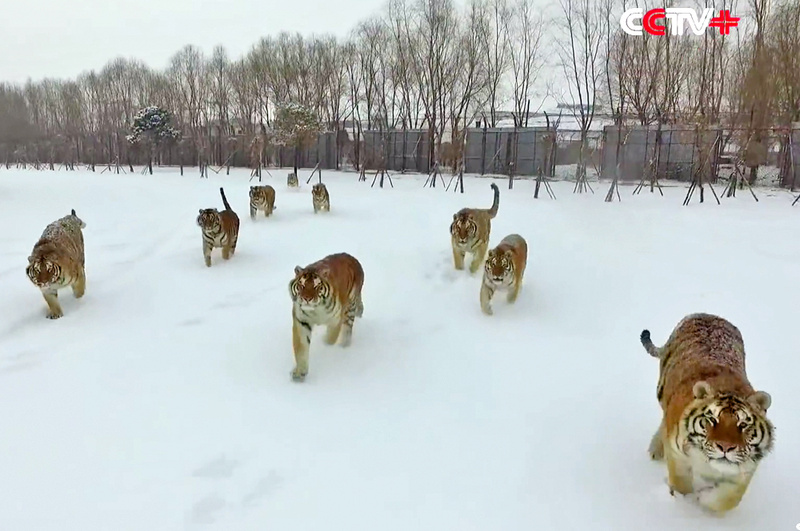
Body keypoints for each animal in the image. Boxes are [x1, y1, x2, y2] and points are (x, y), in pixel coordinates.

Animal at [288, 252, 365, 382]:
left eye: (316, 286)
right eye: (301, 285)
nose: (306, 298)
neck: (317, 309)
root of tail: (351, 257)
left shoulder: (336, 320)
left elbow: (330, 339)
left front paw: (326, 346)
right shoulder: (302, 321)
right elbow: (301, 347)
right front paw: (300, 373)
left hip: (350, 309)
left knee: (347, 331)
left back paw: (343, 348)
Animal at [640, 313, 774, 514]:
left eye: (743, 424)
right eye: (712, 419)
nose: (725, 447)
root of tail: (707, 315)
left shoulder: (745, 470)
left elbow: (728, 500)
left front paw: (704, 499)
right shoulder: (677, 455)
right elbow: (681, 484)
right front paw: (684, 504)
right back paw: (656, 450)